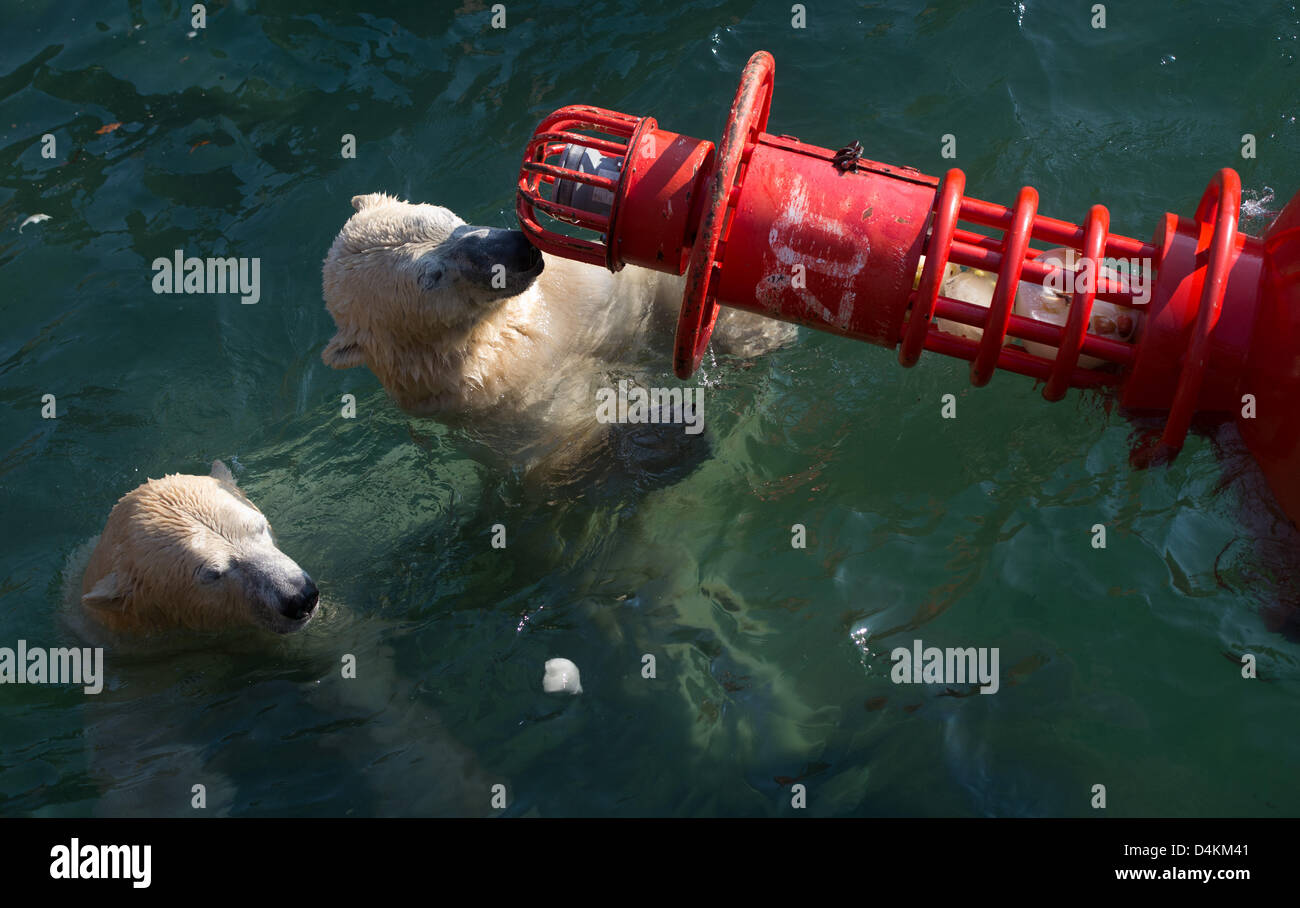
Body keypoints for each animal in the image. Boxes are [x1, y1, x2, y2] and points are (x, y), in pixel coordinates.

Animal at [319, 193, 796, 483]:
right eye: (431, 276)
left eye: (447, 220)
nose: (520, 250)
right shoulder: (510, 407)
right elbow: (578, 438)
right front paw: (667, 427)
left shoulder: (588, 292)